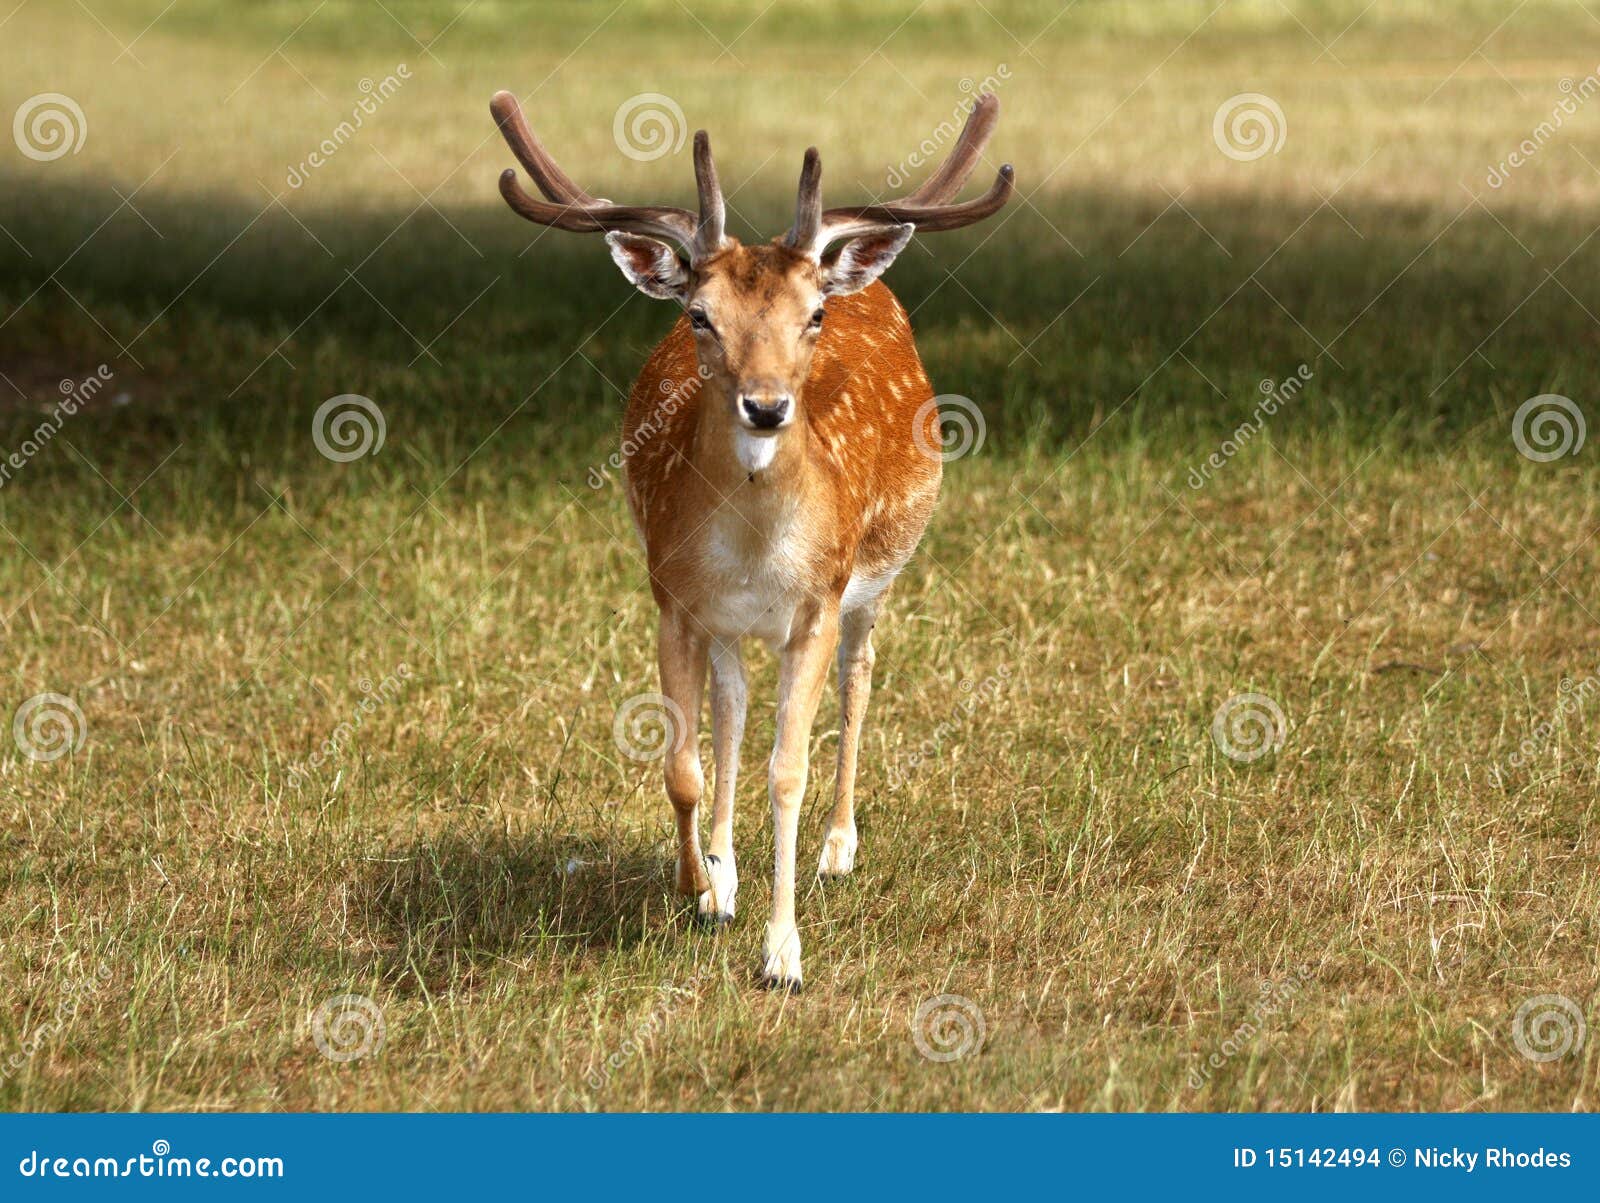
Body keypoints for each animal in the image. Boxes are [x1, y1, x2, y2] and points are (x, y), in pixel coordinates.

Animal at [491, 88, 1013, 990]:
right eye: (701, 315)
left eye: (813, 316)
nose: (766, 406)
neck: (758, 552)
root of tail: (865, 277)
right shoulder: (673, 598)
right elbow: (685, 764)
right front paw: (702, 886)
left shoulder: (817, 603)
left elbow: (787, 770)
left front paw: (783, 954)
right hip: (730, 623)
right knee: (730, 708)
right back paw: (726, 872)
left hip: (874, 579)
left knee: (860, 675)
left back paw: (838, 847)